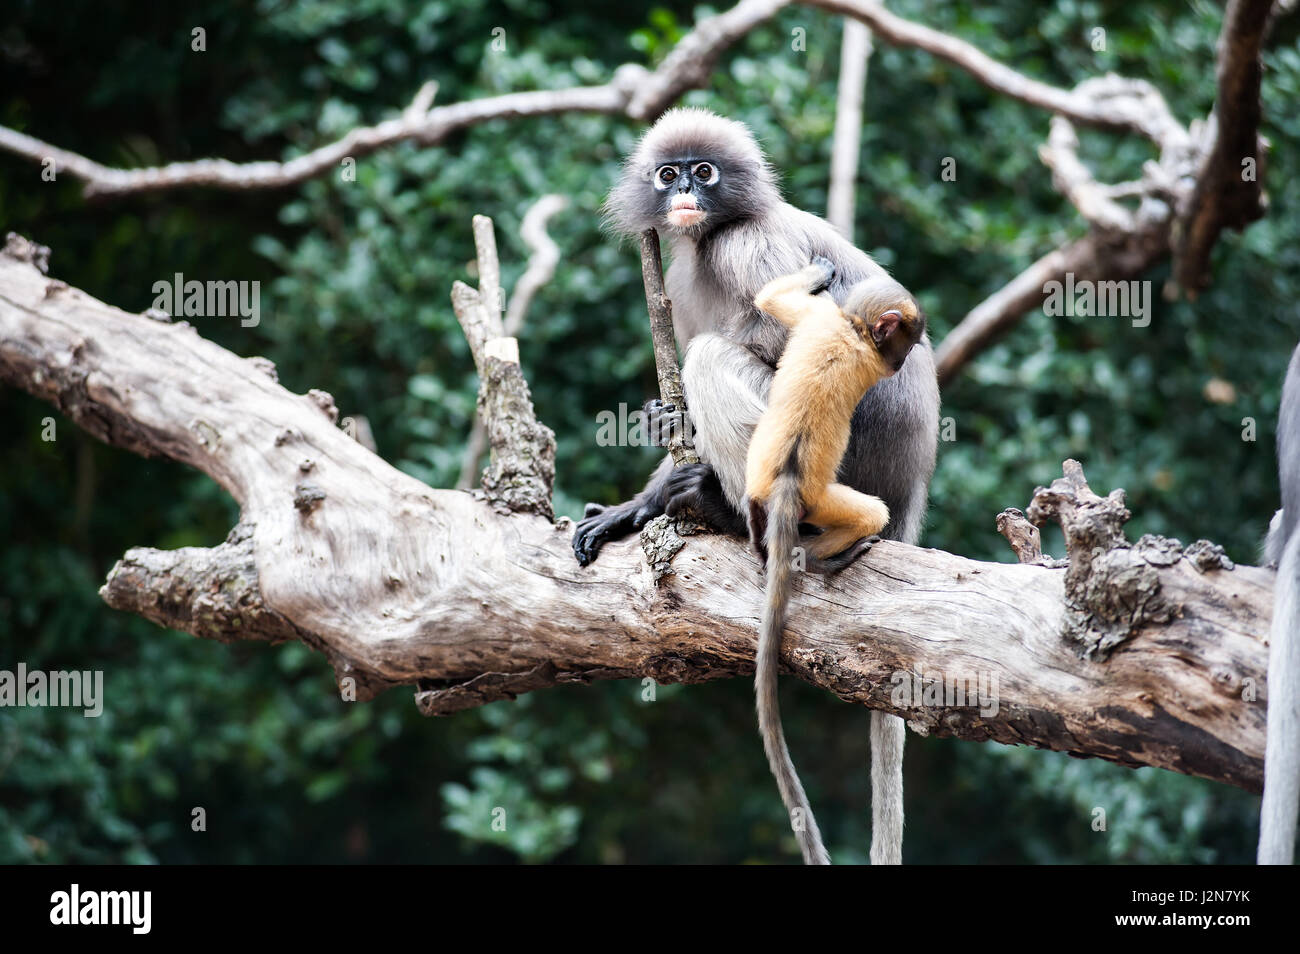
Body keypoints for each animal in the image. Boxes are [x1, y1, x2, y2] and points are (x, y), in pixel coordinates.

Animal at [744, 257, 925, 865]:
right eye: (904, 345)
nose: (902, 361)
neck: (852, 328)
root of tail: (787, 480)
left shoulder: (820, 318)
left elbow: (772, 302)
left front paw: (817, 273)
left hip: (759, 477)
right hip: (824, 498)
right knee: (871, 512)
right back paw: (823, 558)